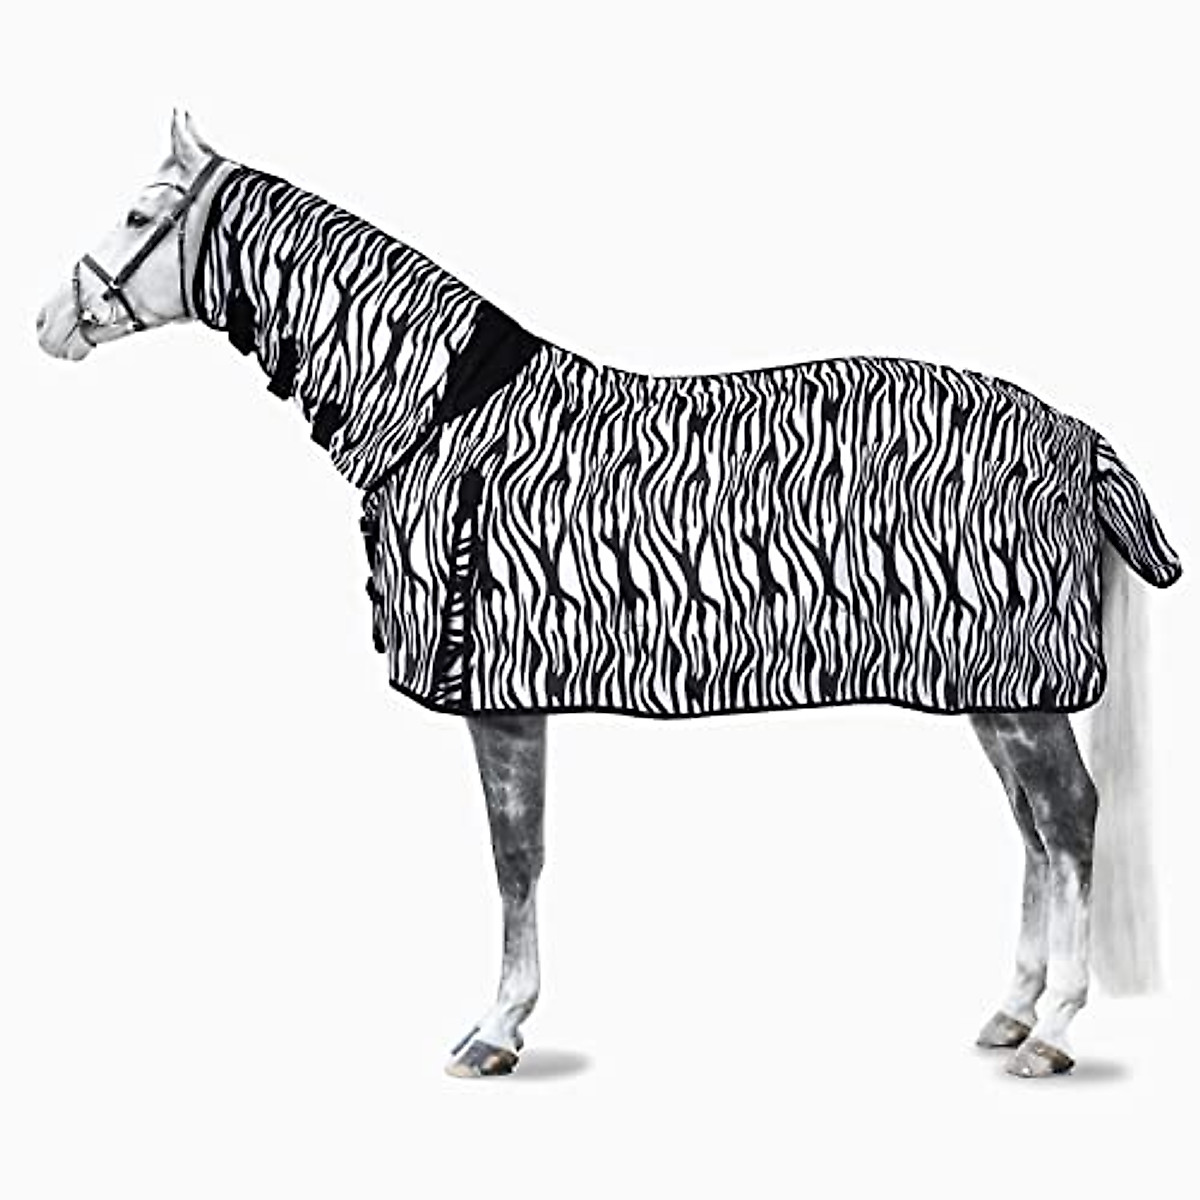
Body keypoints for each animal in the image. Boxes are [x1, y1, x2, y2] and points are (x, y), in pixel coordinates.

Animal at [37, 112, 1181, 1080]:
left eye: (138, 216)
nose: (51, 321)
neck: (445, 412)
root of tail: (1079, 438)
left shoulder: (498, 698)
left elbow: (515, 855)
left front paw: (497, 1030)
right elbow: (522, 855)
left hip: (1021, 690)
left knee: (1069, 819)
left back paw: (1056, 1028)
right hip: (990, 689)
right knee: (1032, 828)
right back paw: (1013, 1012)